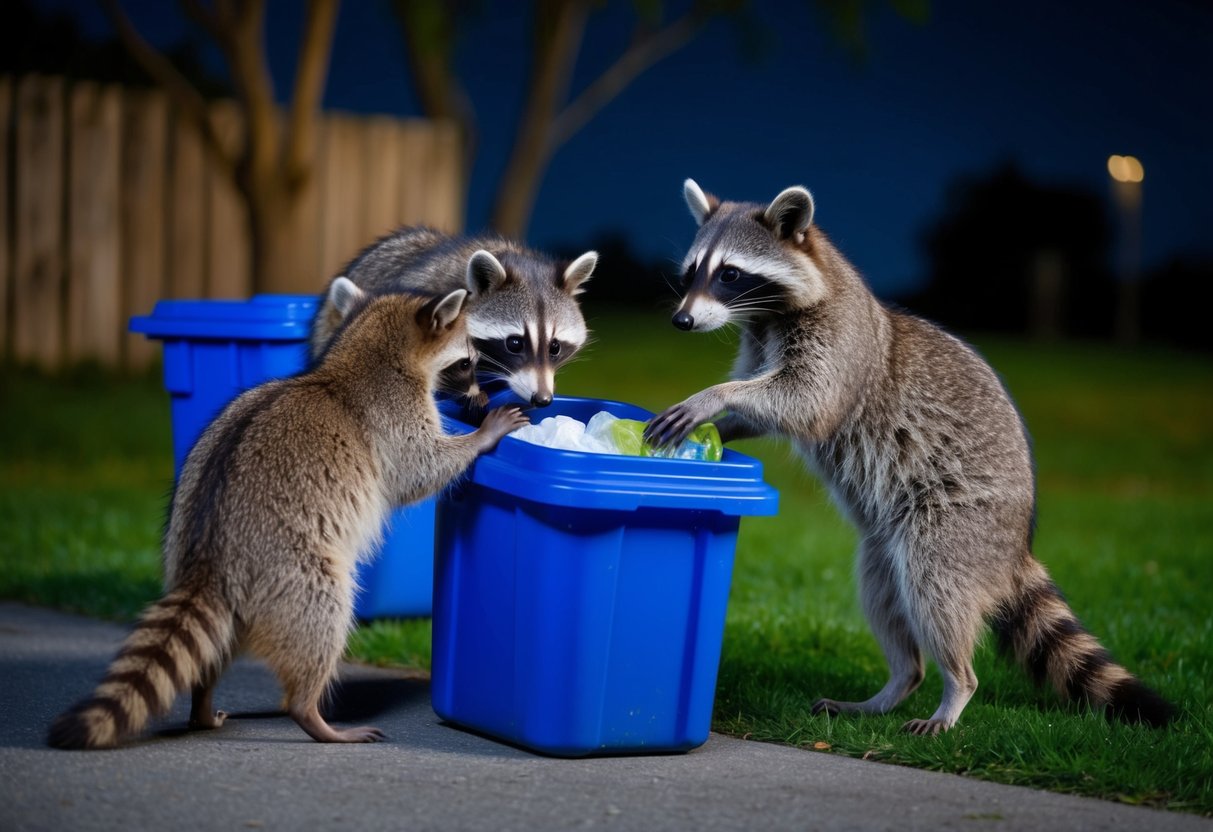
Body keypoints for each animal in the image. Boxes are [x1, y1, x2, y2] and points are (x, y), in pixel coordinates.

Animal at [48, 281, 529, 749]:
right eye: (466, 364)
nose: (480, 398)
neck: (360, 355)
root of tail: (208, 559)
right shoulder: (389, 413)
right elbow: (418, 467)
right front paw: (481, 437)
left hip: (227, 590)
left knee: (212, 647)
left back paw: (202, 701)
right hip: (290, 569)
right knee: (323, 614)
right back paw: (308, 710)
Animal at [646, 178, 1175, 734]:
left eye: (729, 274)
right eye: (691, 272)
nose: (682, 319)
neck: (768, 314)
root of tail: (1015, 546)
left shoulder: (840, 342)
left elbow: (809, 402)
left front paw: (715, 397)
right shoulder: (760, 338)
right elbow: (776, 408)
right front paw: (728, 422)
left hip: (958, 524)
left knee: (934, 586)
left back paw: (957, 686)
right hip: (887, 542)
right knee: (883, 591)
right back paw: (899, 681)